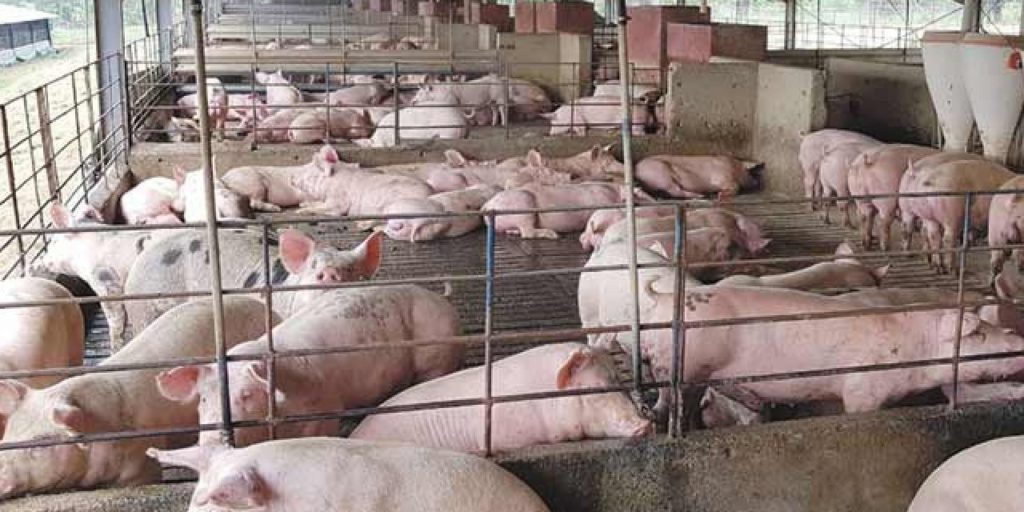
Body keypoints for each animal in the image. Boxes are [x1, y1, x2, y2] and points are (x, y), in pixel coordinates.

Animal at [157, 284, 462, 447]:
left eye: (246, 395)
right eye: (203, 398)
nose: (210, 442)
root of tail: (441, 299)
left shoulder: (326, 408)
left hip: (436, 357)